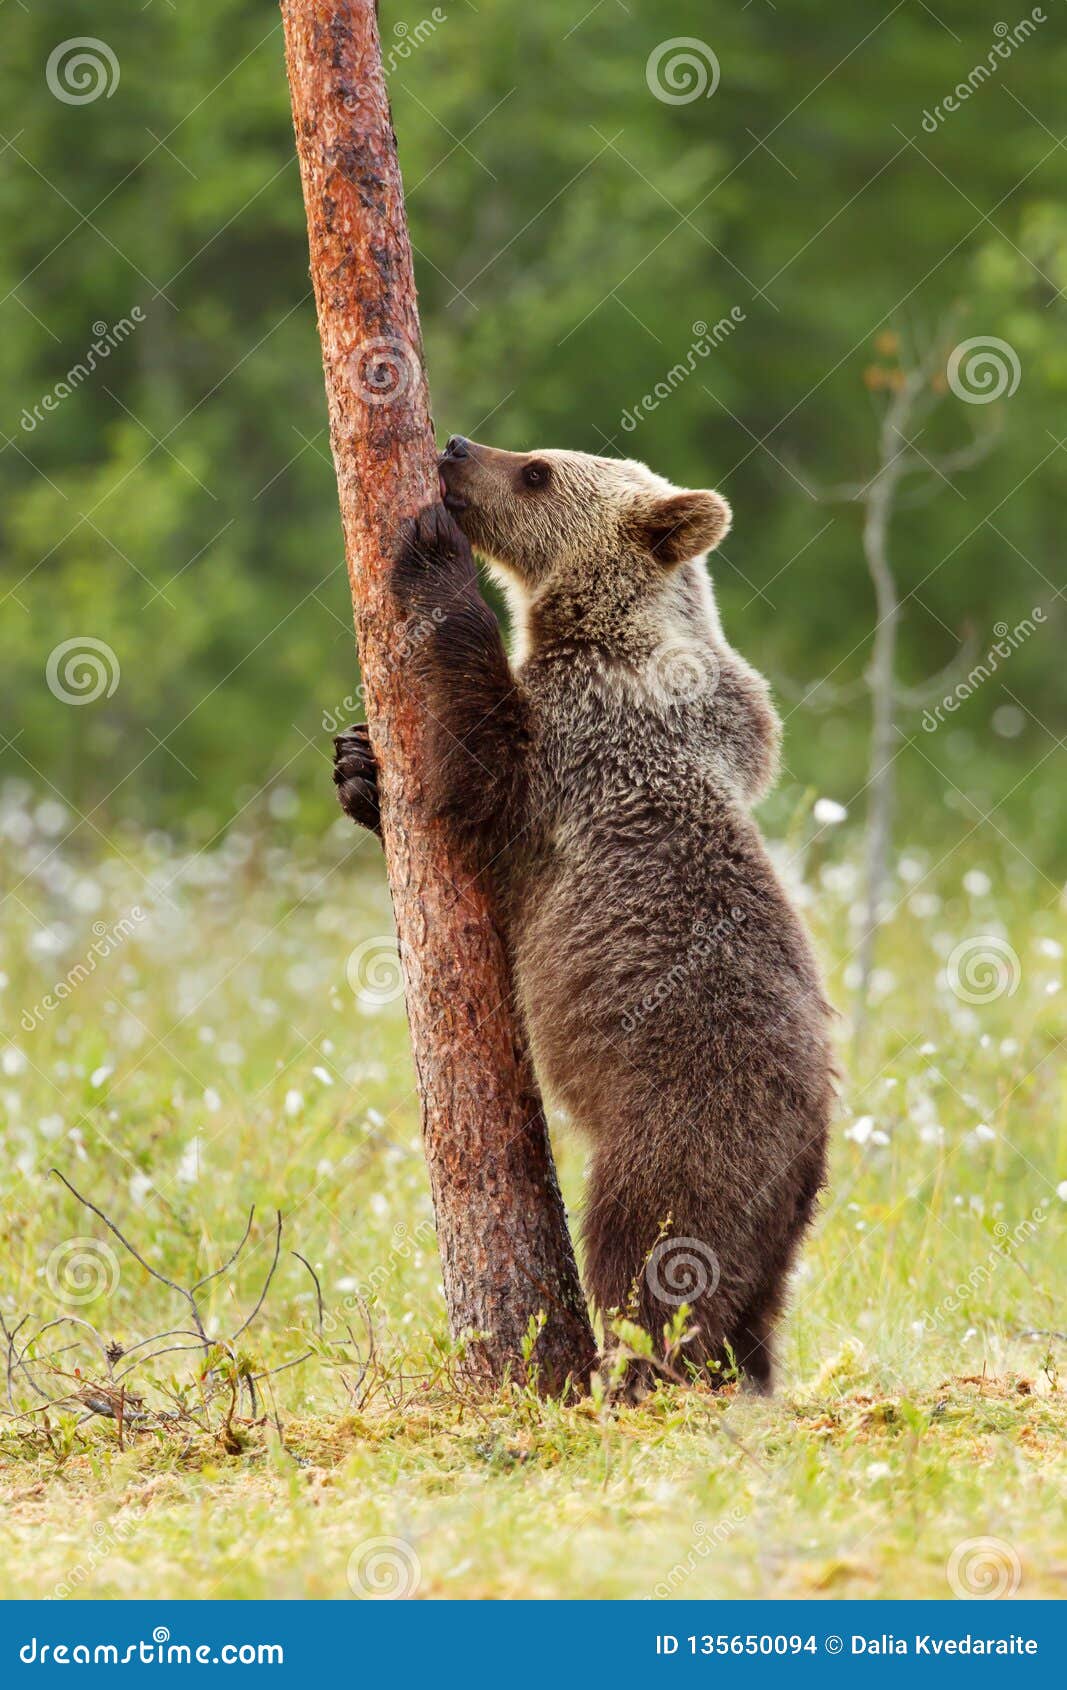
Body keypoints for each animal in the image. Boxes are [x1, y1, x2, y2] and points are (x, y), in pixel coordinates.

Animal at [333, 436, 835, 1393]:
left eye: (537, 469)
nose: (454, 447)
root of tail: (807, 1147)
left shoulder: (580, 740)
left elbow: (480, 773)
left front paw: (434, 559)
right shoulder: (723, 715)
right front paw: (354, 769)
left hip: (683, 1127)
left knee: (648, 1258)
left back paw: (629, 1375)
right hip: (780, 1221)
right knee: (751, 1308)